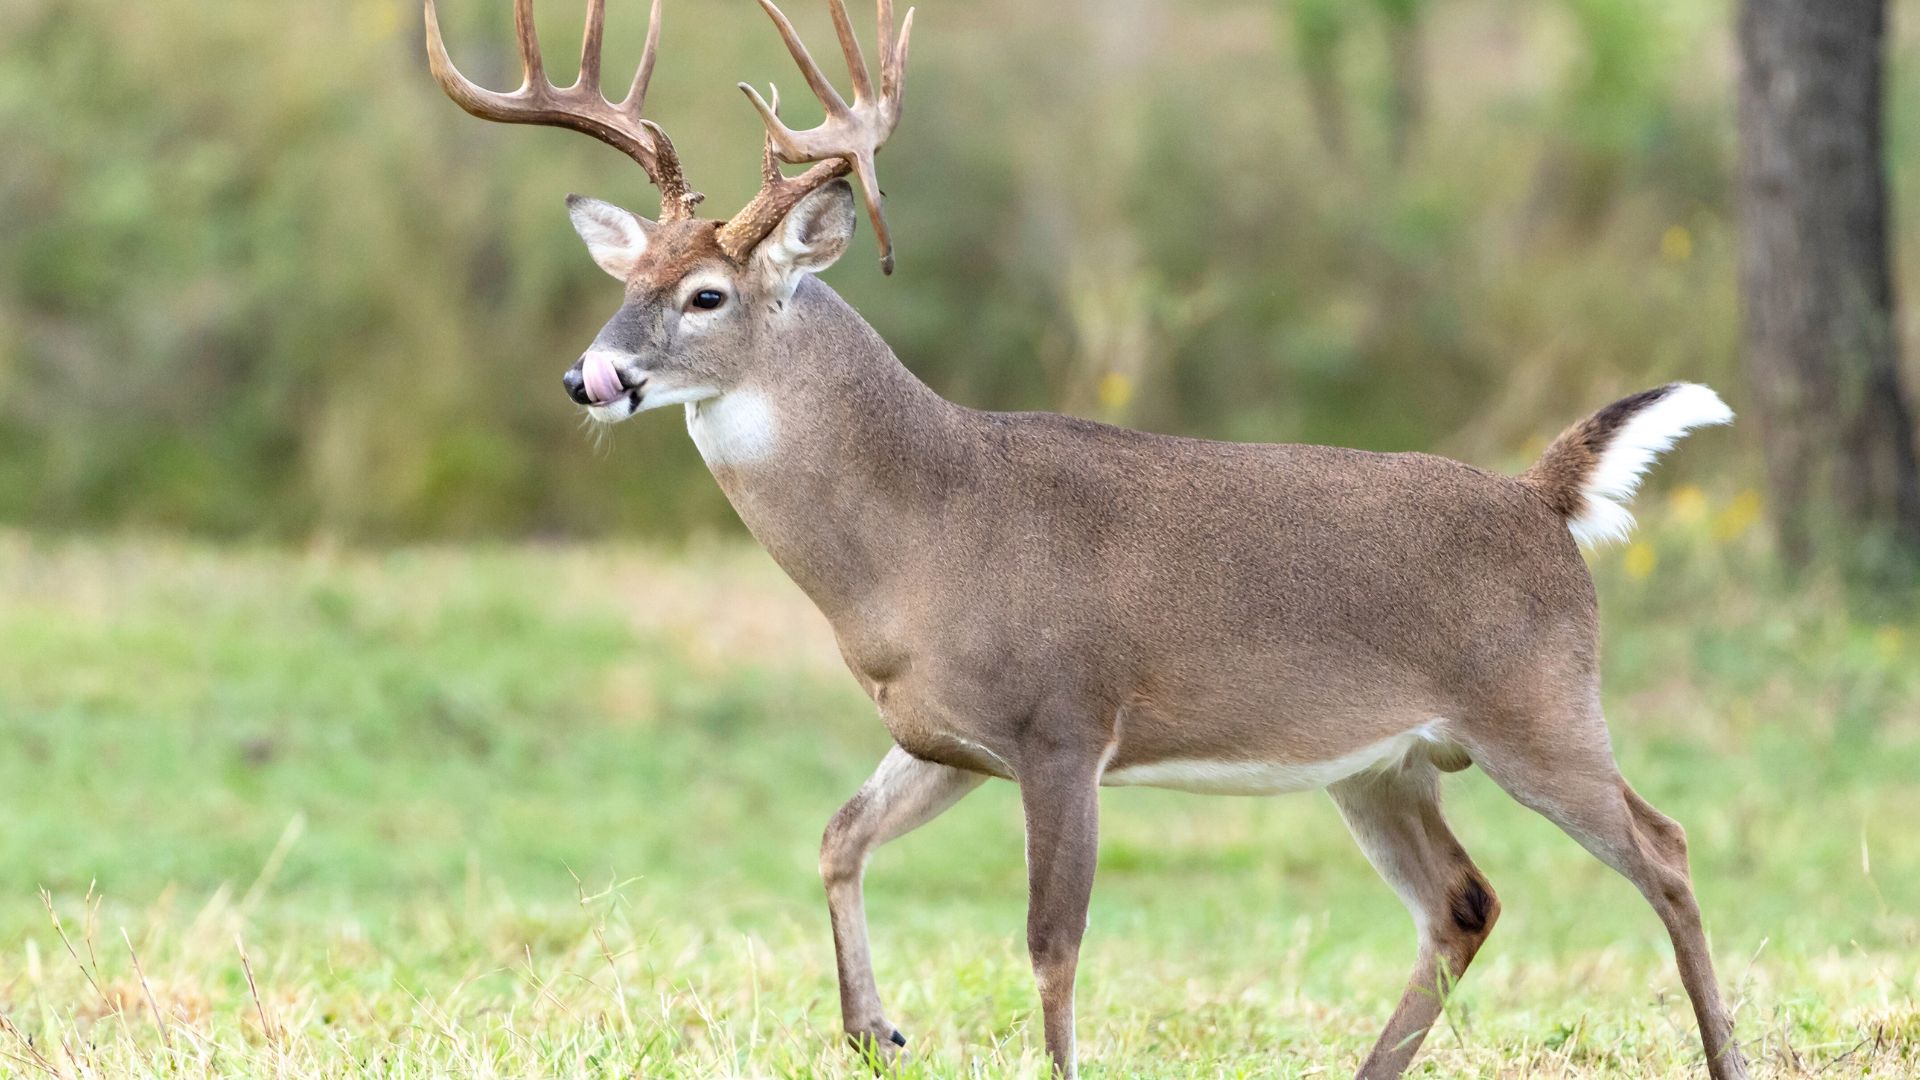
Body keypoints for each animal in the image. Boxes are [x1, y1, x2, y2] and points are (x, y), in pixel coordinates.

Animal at [423, 1, 1749, 1076]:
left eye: (706, 295)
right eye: (626, 278)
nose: (588, 377)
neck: (924, 532)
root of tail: (1544, 500)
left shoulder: (1065, 721)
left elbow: (1051, 941)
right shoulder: (950, 736)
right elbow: (838, 834)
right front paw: (873, 1028)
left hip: (1537, 707)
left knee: (1667, 846)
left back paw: (1725, 1055)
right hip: (1386, 762)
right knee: (1463, 902)